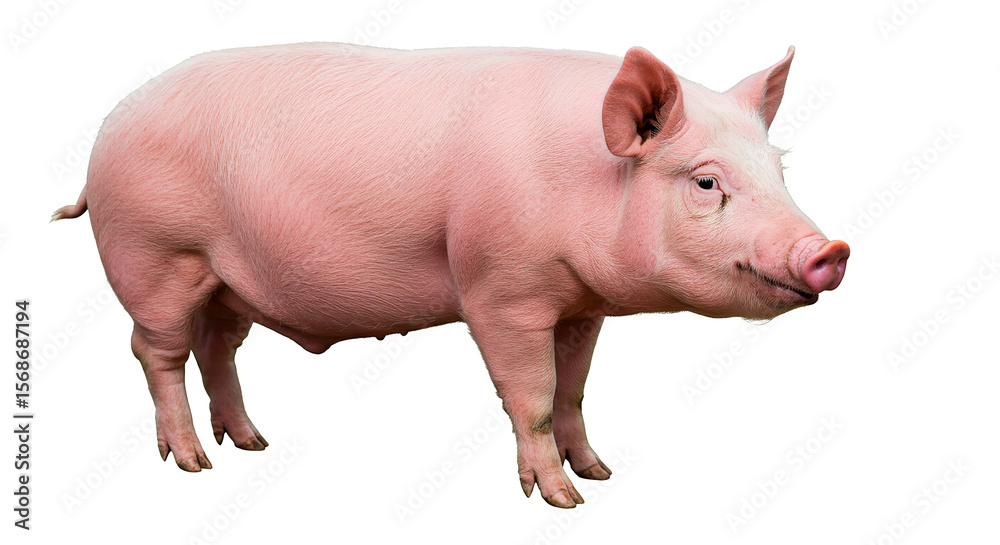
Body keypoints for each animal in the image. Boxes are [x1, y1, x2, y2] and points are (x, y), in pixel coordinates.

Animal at [52, 42, 848, 508]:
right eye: (707, 181)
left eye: (779, 171)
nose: (831, 249)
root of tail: (105, 131)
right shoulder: (502, 290)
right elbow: (531, 397)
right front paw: (562, 502)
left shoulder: (580, 305)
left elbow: (573, 389)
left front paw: (599, 473)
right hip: (155, 256)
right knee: (156, 351)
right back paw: (193, 465)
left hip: (228, 281)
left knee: (217, 346)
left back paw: (252, 443)